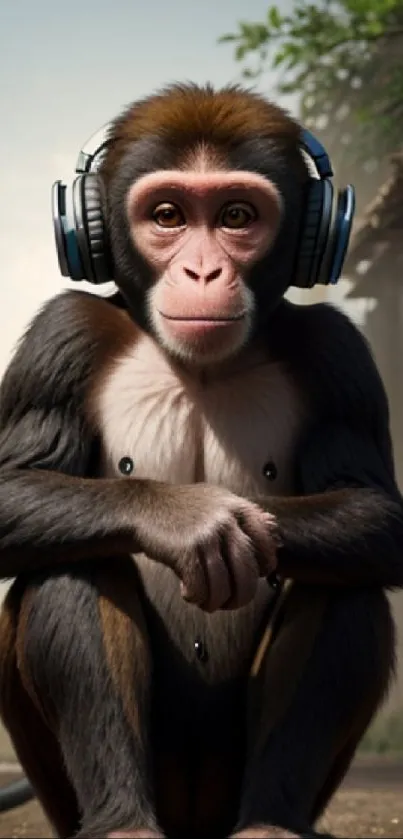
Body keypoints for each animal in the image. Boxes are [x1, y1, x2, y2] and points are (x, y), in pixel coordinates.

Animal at [0, 82, 402, 839]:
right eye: (168, 216)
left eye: (236, 216)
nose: (203, 269)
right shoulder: (59, 339)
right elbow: (13, 483)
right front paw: (191, 519)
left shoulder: (339, 357)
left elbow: (371, 505)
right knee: (73, 562)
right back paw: (122, 821)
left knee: (345, 578)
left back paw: (270, 822)